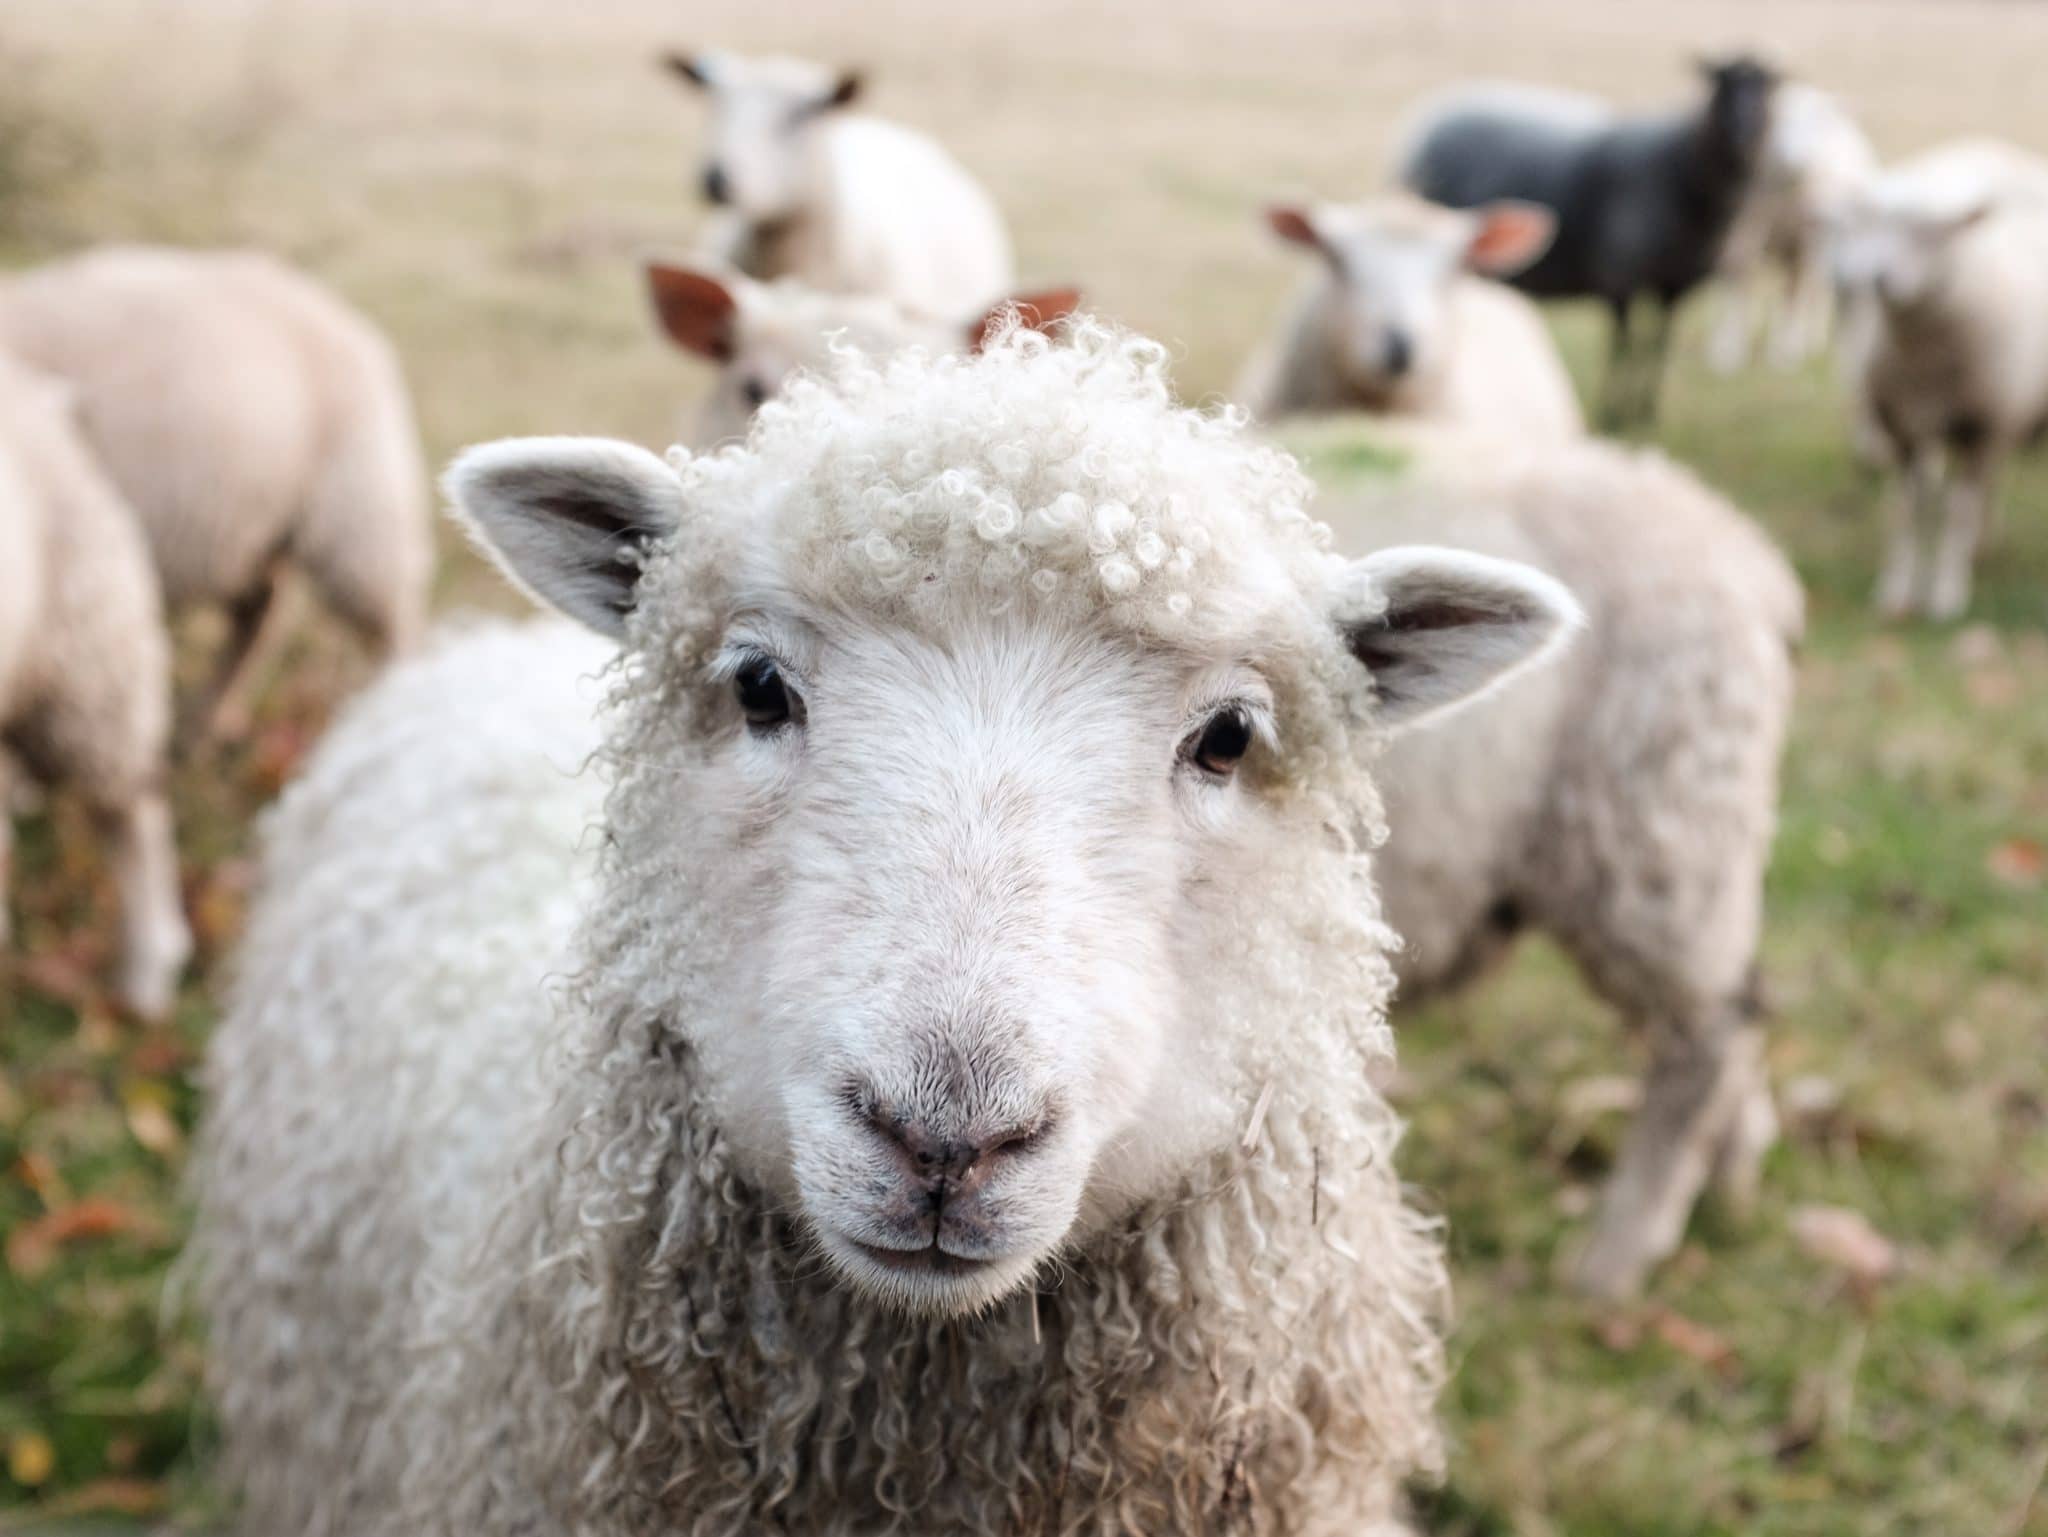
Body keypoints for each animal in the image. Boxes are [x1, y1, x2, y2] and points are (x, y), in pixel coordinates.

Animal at [0, 246, 431, 739]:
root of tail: (342, 315)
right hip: (251, 528)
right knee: (259, 614)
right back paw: (210, 716)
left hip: (359, 512)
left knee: (391, 624)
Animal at [1398, 56, 1780, 426]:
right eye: (1723, 82)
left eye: (1768, 87)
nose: (1744, 131)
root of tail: (1430, 116)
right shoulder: (1620, 278)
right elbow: (1623, 346)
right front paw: (1615, 412)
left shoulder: (1673, 285)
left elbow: (1657, 345)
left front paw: (1645, 410)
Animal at [1707, 82, 1878, 374]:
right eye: (1780, 122)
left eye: (1817, 126)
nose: (1793, 157)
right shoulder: (1745, 225)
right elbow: (1739, 277)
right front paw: (1726, 351)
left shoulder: (1809, 241)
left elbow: (1798, 291)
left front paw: (1786, 352)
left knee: (1812, 288)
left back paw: (1808, 340)